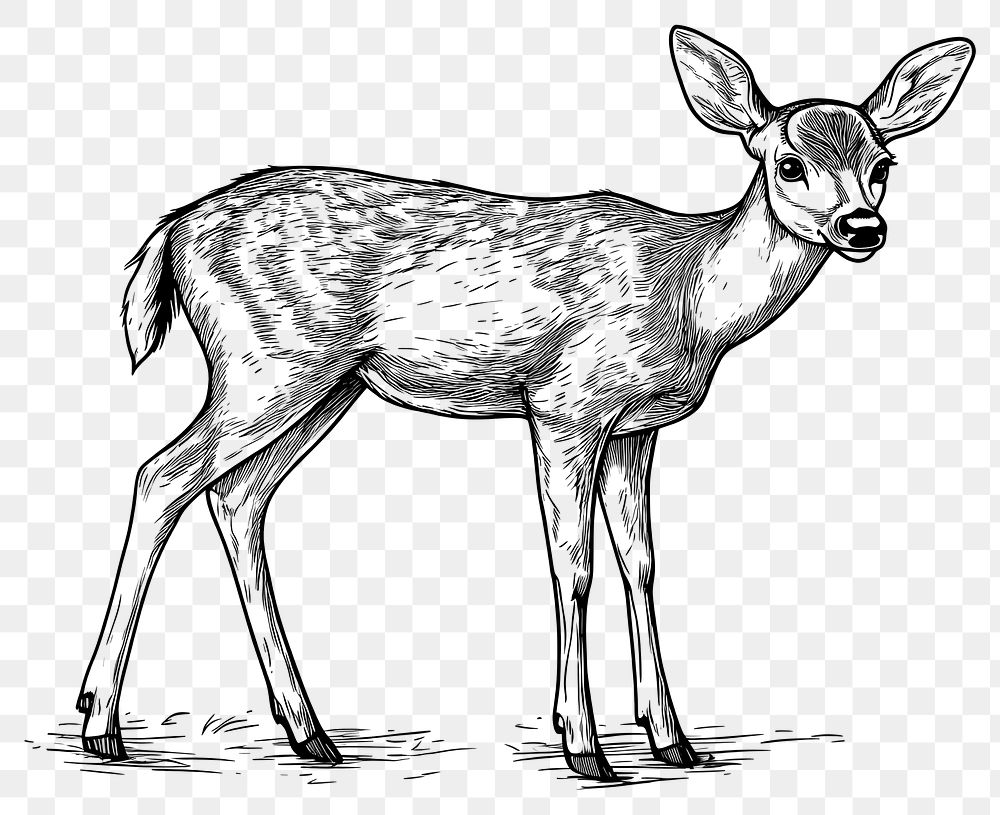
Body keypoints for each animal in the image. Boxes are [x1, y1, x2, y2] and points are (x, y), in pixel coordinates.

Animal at [77, 27, 973, 780]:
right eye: (788, 162)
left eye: (883, 163)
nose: (862, 227)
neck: (689, 298)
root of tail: (172, 233)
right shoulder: (566, 404)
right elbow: (572, 564)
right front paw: (585, 745)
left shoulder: (637, 429)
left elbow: (641, 562)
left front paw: (673, 739)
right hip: (267, 361)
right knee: (164, 473)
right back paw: (101, 722)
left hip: (327, 383)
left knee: (236, 496)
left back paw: (309, 731)